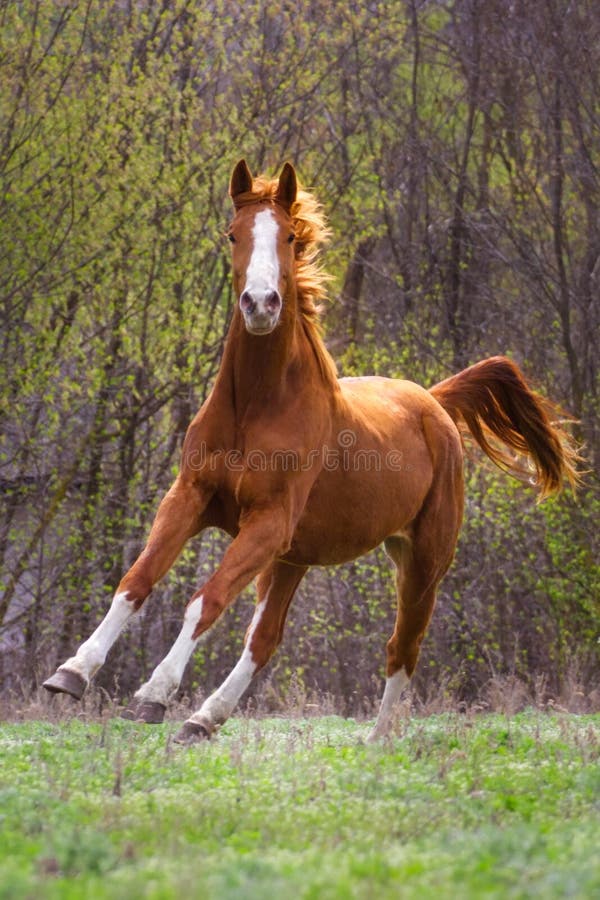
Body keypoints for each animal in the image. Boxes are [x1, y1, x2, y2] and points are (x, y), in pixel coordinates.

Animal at [43, 159, 579, 743]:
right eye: (233, 234)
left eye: (291, 238)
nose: (260, 304)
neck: (257, 407)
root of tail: (433, 403)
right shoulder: (191, 499)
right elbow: (136, 581)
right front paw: (71, 674)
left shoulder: (266, 521)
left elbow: (205, 601)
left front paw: (152, 695)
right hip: (293, 559)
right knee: (266, 639)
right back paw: (203, 719)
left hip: (420, 561)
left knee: (402, 649)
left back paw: (375, 743)